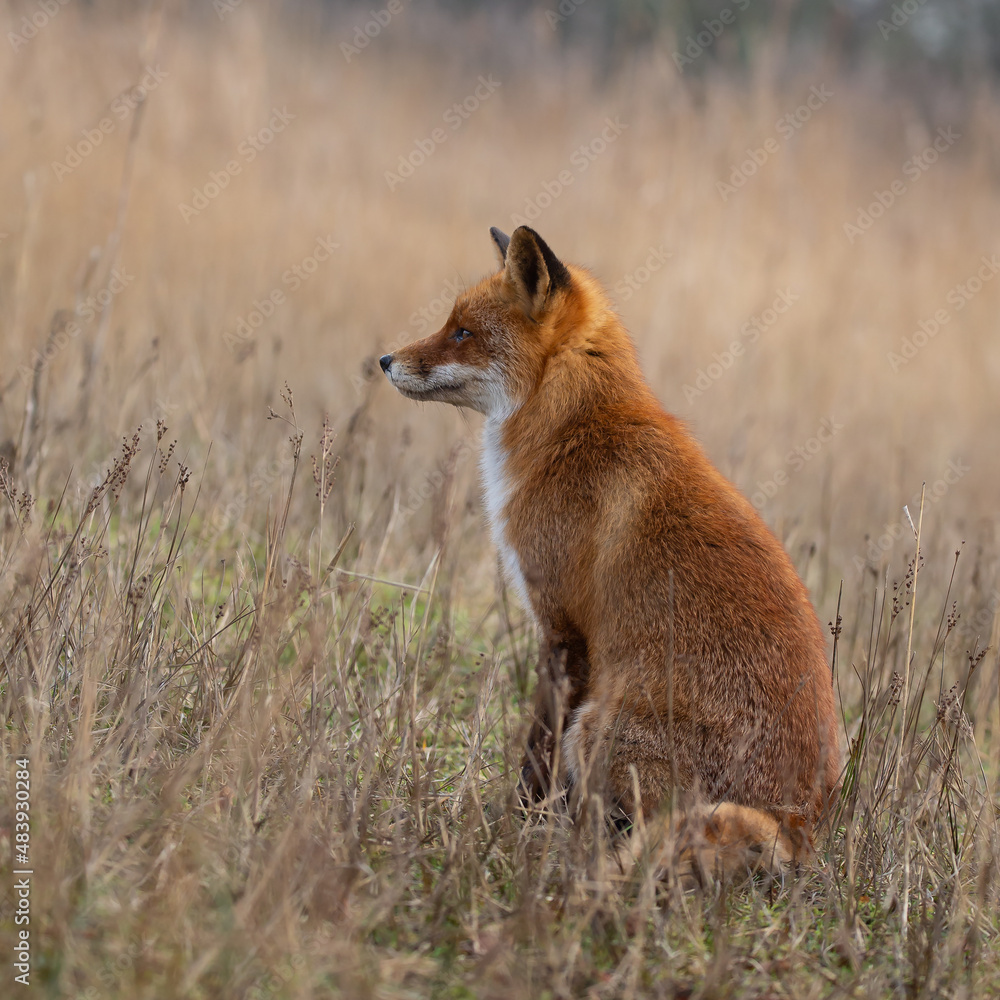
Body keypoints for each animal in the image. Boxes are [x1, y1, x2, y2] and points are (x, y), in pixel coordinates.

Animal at [380, 225, 841, 879]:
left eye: (463, 331)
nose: (384, 360)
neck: (571, 427)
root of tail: (799, 827)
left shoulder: (565, 631)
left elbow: (536, 758)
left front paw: (513, 825)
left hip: (596, 725)